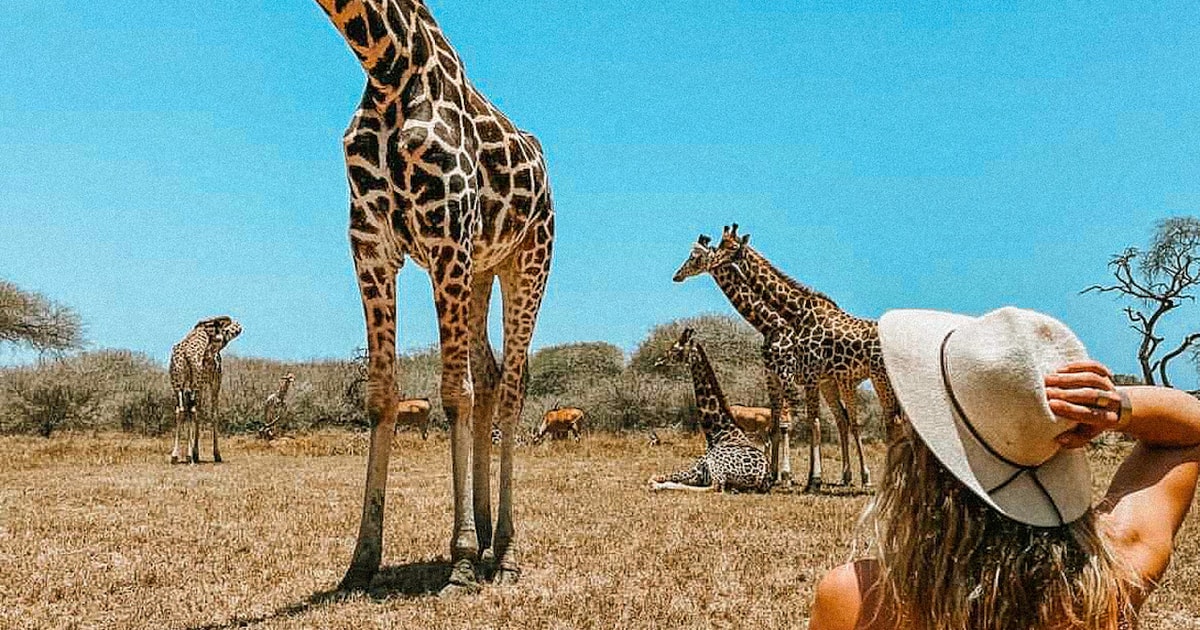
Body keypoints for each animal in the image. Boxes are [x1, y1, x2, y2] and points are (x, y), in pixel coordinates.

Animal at [168, 316, 242, 464]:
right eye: (228, 330)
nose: (239, 326)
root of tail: (184, 355)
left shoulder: (197, 384)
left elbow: (199, 412)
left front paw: (196, 453)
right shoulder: (214, 381)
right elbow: (214, 414)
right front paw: (216, 454)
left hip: (178, 383)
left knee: (181, 410)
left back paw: (175, 456)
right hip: (194, 382)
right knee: (191, 409)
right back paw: (189, 456)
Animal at [315, 0, 554, 593]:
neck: (387, 67)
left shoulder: (446, 235)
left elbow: (453, 392)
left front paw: (462, 561)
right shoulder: (371, 244)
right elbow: (381, 395)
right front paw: (361, 562)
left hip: (528, 259)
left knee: (511, 388)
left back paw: (504, 551)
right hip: (480, 270)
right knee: (491, 375)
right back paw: (488, 534)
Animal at [648, 328, 770, 493]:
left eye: (675, 348)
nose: (658, 360)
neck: (718, 433)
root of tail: (761, 478)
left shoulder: (699, 467)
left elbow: (656, 476)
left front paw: (655, 483)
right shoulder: (699, 473)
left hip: (716, 465)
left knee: (715, 487)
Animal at [715, 224, 900, 489]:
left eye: (730, 247)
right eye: (720, 244)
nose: (712, 259)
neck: (795, 312)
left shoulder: (806, 375)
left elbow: (810, 421)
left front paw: (810, 479)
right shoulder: (800, 377)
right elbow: (803, 422)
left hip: (877, 378)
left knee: (886, 421)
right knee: (865, 421)